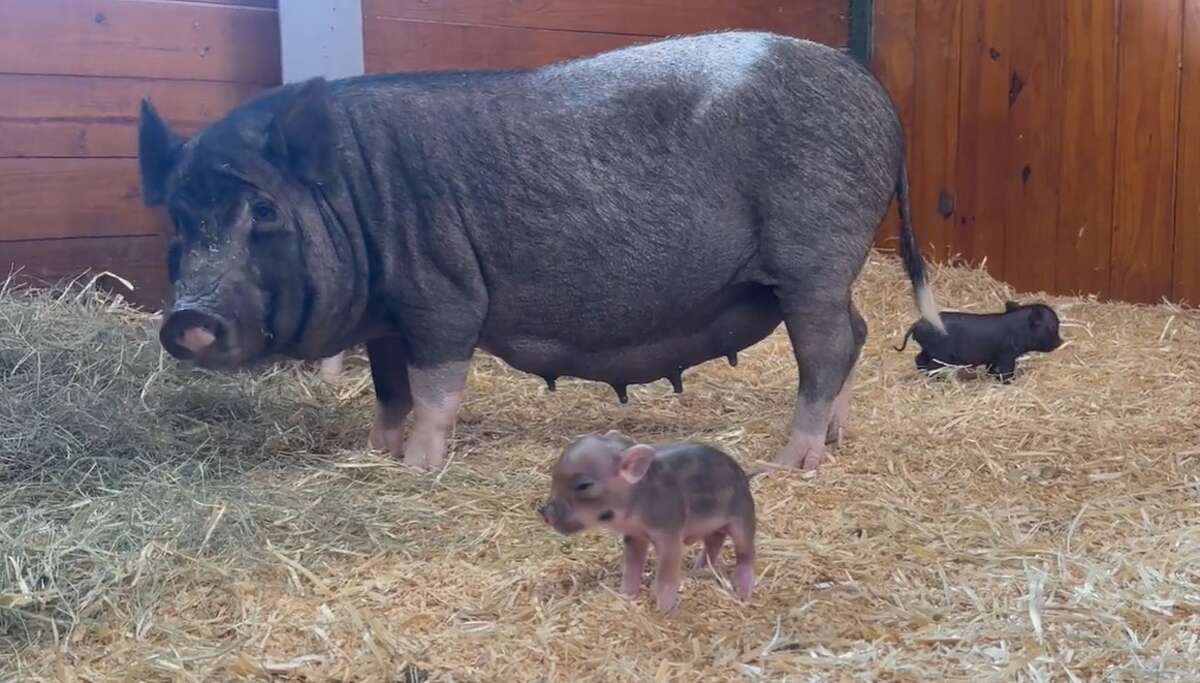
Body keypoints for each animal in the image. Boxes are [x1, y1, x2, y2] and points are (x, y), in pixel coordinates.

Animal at [137, 31, 945, 474]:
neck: (356, 197)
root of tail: (877, 93)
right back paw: (836, 436)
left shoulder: (442, 296)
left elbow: (435, 389)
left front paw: (420, 465)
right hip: (826, 270)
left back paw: (793, 461)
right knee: (857, 333)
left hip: (815, 252)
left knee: (827, 346)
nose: (189, 319)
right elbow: (390, 389)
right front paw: (377, 450)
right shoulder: (388, 321)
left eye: (264, 211)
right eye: (178, 219)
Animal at [538, 431, 756, 613]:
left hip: (744, 516)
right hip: (715, 526)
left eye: (584, 485)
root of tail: (744, 476)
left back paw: (743, 596)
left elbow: (666, 576)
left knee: (745, 555)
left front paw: (663, 612)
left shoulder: (670, 533)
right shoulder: (634, 536)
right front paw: (626, 598)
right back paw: (697, 570)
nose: (545, 512)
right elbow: (631, 567)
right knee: (714, 541)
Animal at [895, 301, 1063, 382]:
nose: (1060, 342)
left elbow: (992, 369)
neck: (1019, 329)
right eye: (1053, 326)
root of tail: (917, 323)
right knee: (930, 366)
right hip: (939, 355)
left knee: (918, 359)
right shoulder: (1006, 355)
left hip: (927, 350)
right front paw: (1010, 381)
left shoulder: (993, 358)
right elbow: (1007, 371)